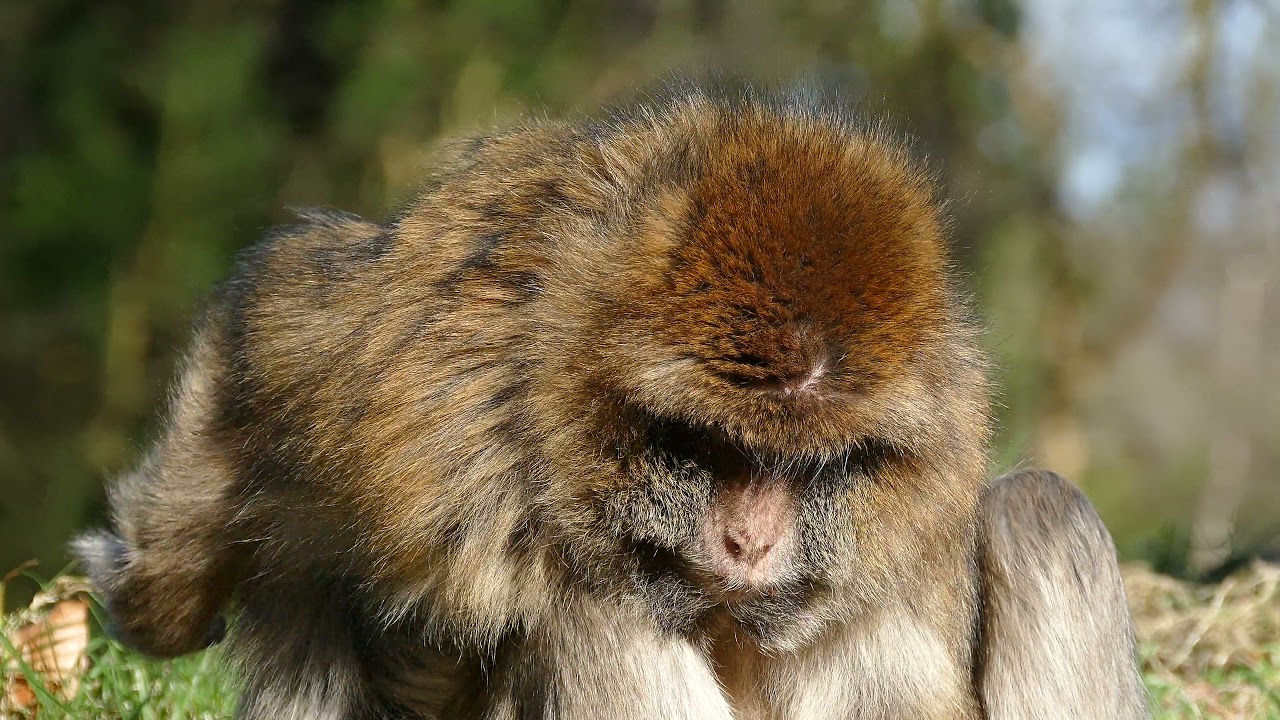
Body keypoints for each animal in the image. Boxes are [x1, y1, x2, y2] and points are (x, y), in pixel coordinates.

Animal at [73, 83, 1149, 719]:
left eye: (808, 466)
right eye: (708, 448)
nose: (750, 540)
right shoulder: (428, 406)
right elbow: (280, 299)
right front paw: (148, 597)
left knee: (1039, 507)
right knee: (591, 606)